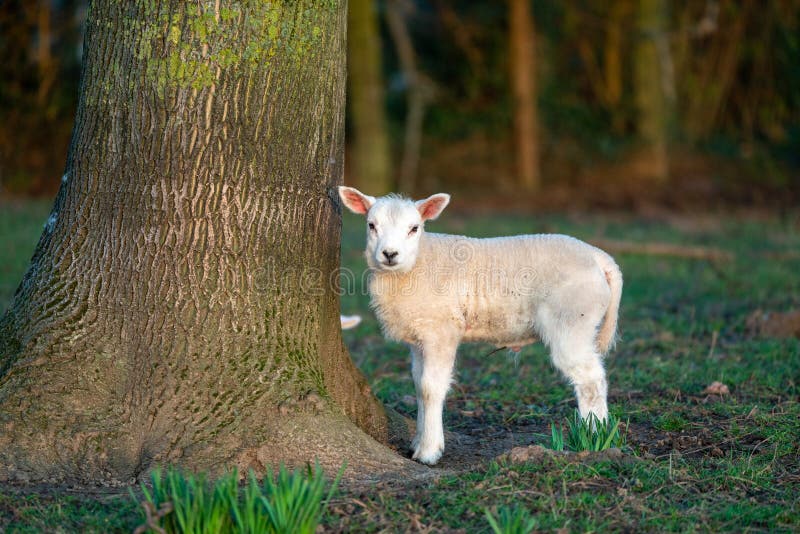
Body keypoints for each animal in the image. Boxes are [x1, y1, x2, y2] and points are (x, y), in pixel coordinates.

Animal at [338, 186, 623, 465]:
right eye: (371, 225)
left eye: (414, 228)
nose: (389, 254)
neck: (417, 263)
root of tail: (599, 257)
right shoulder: (420, 334)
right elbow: (419, 385)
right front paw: (418, 444)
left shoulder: (441, 330)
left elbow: (431, 388)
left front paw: (430, 451)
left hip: (573, 320)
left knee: (591, 379)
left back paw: (593, 437)